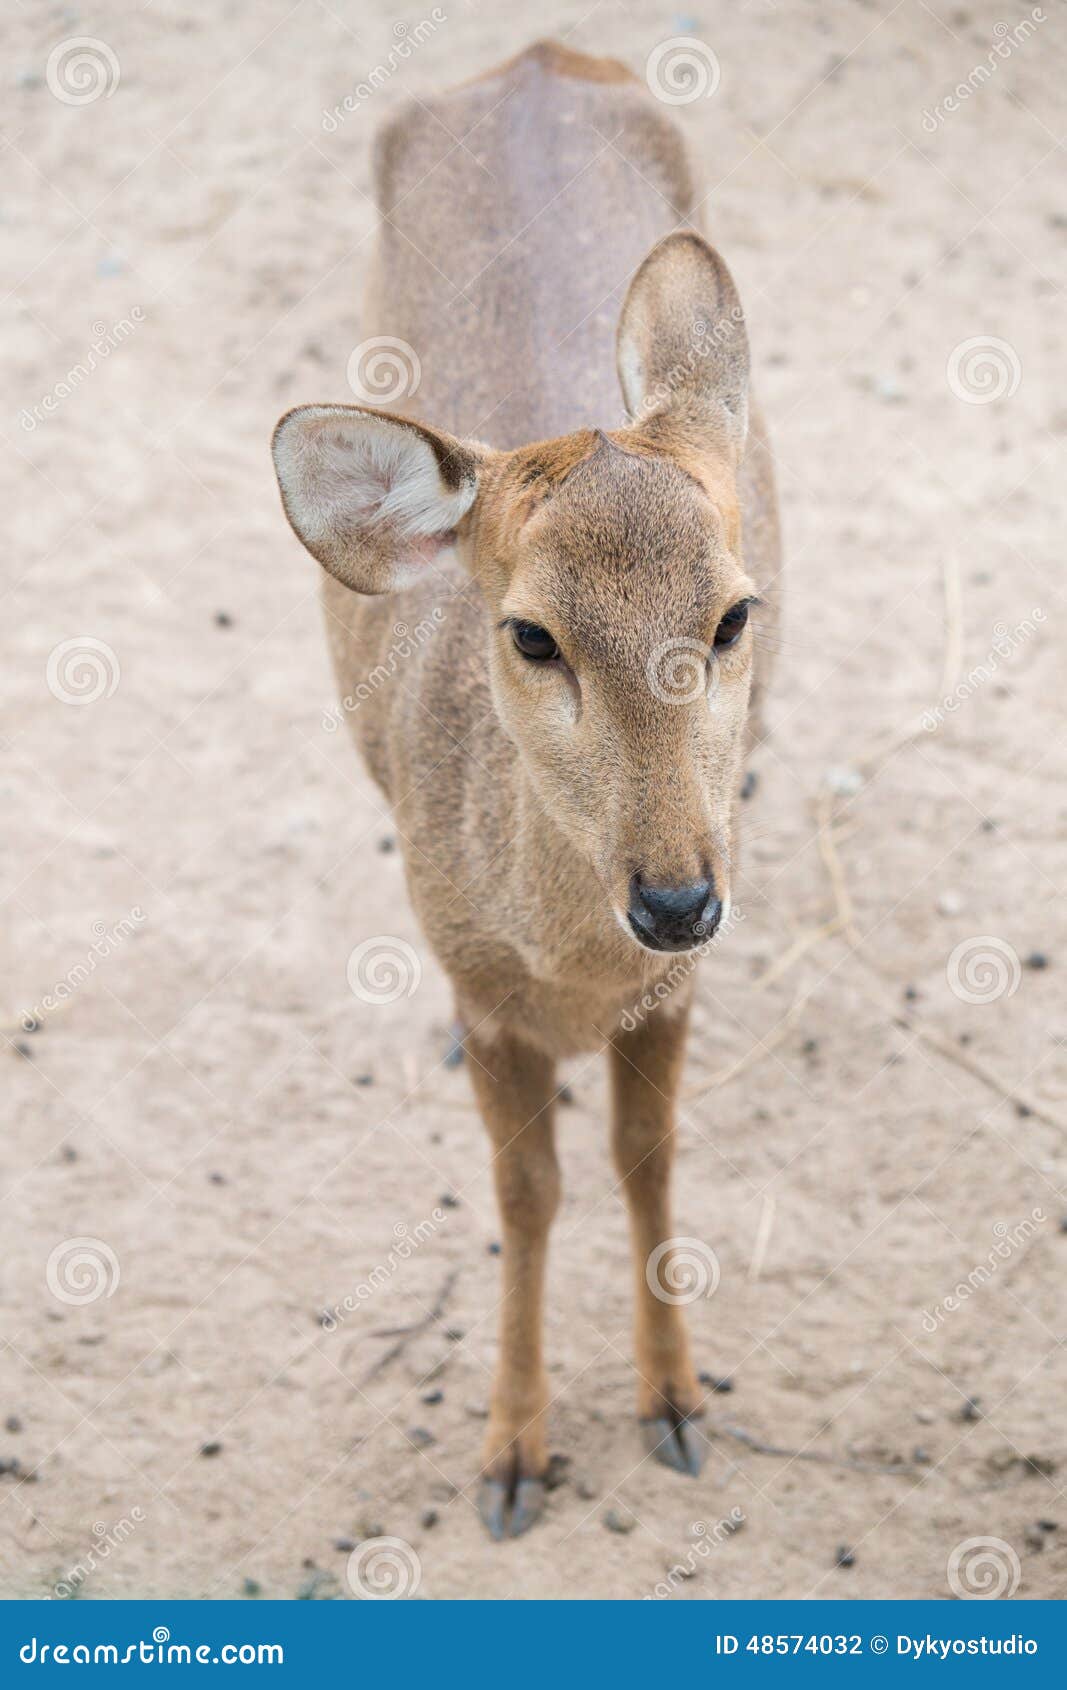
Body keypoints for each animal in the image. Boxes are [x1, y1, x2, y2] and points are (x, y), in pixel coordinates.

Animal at [271, 39, 780, 1539]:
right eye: (532, 634)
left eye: (732, 612)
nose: (675, 897)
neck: (569, 975)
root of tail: (537, 57)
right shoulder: (484, 990)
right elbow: (526, 1192)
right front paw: (507, 1457)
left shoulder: (670, 995)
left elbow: (642, 1155)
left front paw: (676, 1405)